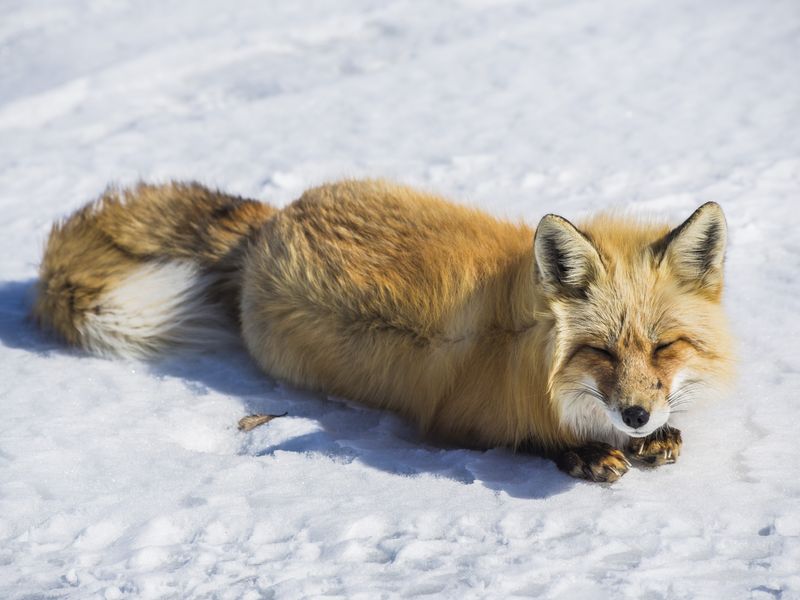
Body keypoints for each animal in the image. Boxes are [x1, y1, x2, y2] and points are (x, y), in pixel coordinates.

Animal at [32, 179, 734, 482]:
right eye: (600, 351)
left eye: (664, 347)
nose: (637, 414)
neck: (518, 339)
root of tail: (271, 220)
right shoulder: (455, 420)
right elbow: (524, 440)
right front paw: (583, 451)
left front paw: (656, 434)